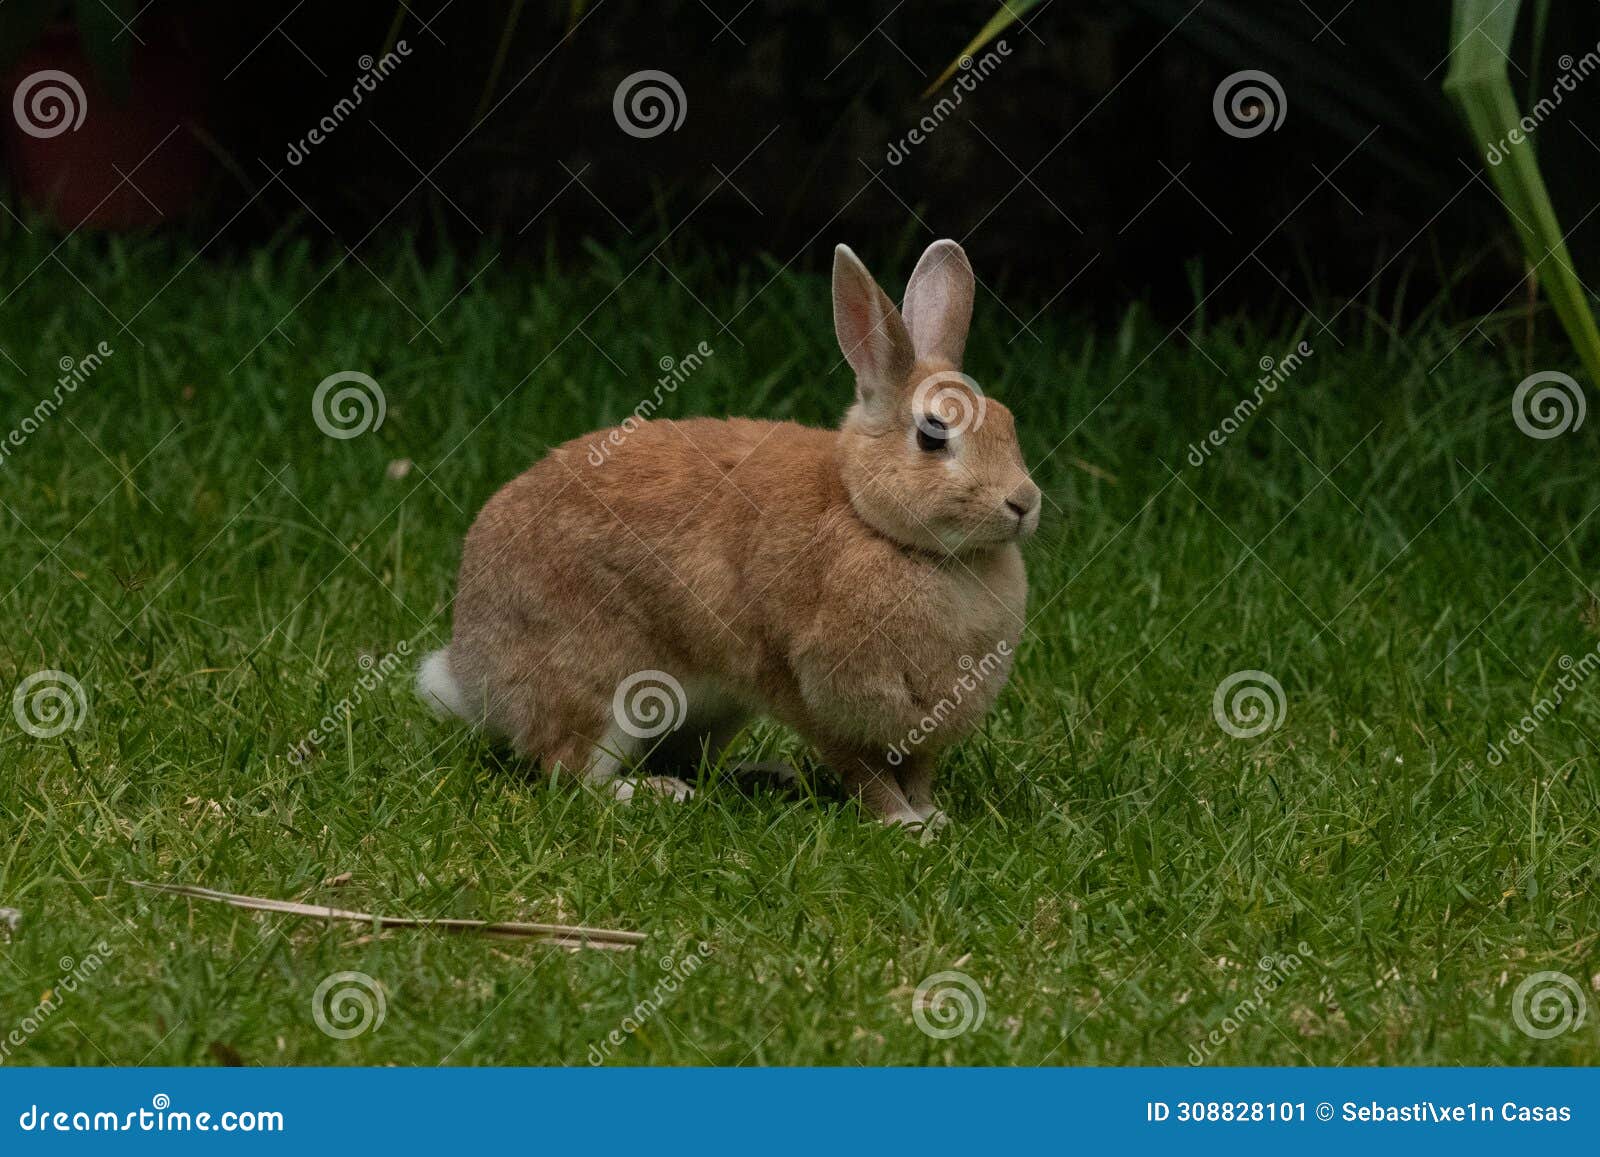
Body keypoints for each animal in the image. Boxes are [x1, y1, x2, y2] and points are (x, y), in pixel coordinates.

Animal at [418, 238, 1039, 829]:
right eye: (933, 435)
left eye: (1009, 423)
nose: (1024, 502)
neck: (879, 525)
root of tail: (473, 673)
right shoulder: (814, 691)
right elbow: (865, 773)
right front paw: (904, 825)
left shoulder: (917, 725)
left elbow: (918, 770)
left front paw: (931, 815)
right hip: (606, 688)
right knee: (569, 770)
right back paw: (653, 794)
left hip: (711, 711)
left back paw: (765, 776)